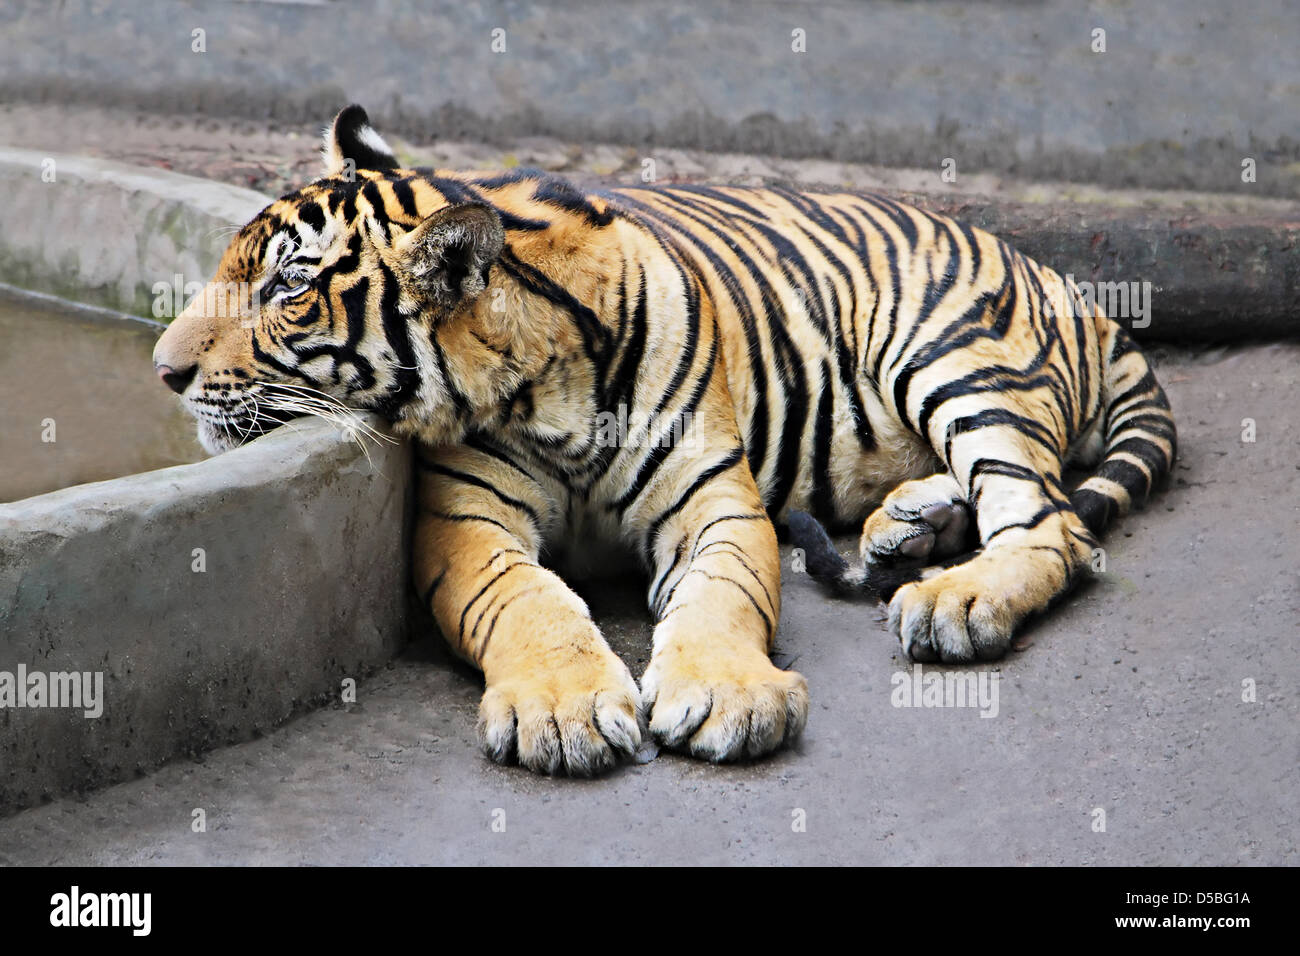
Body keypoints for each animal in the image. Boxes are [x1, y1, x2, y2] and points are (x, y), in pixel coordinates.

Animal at [153, 105, 1176, 775]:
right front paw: (562, 711)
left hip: (955, 361)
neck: (549, 385)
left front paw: (728, 696)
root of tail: (1071, 283)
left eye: (286, 289)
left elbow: (723, 596)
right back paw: (908, 528)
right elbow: (525, 599)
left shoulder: (714, 501)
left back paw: (955, 600)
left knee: (1049, 522)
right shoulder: (463, 519)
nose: (162, 368)